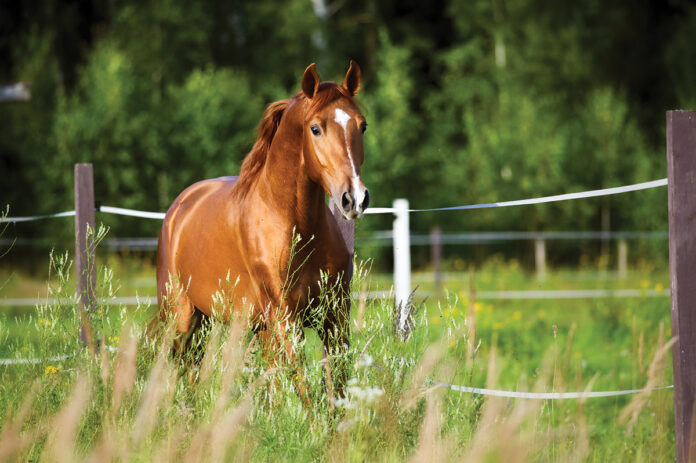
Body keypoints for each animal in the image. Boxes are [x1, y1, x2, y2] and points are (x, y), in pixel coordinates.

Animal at [155, 61, 369, 398]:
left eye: (362, 126)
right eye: (315, 128)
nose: (354, 199)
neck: (296, 228)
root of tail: (180, 207)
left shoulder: (334, 317)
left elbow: (335, 387)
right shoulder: (285, 319)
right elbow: (304, 390)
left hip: (224, 323)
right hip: (182, 317)